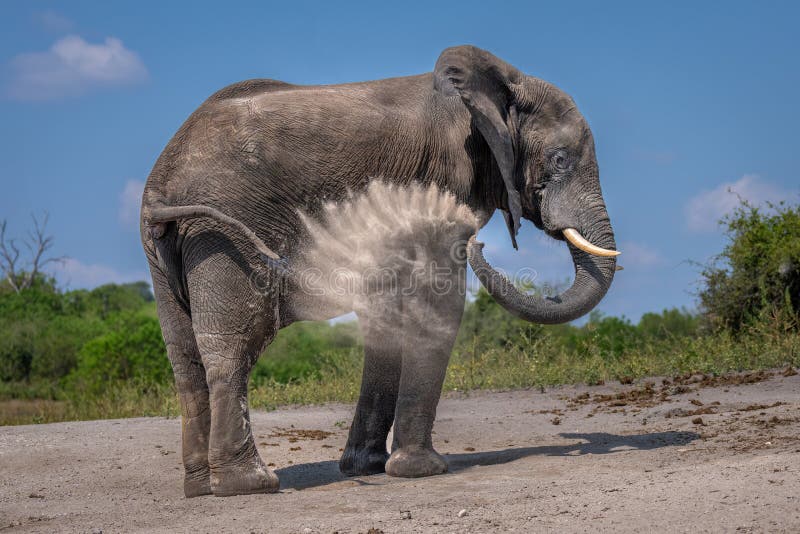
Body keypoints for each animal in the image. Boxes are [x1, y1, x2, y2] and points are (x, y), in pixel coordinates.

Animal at [140, 45, 620, 497]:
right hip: (222, 233)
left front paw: (367, 467)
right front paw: (423, 470)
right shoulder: (439, 183)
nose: (478, 245)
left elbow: (384, 318)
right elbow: (438, 303)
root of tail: (161, 184)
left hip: (166, 249)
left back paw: (201, 488)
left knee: (185, 359)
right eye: (560, 160)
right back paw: (250, 485)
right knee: (233, 348)